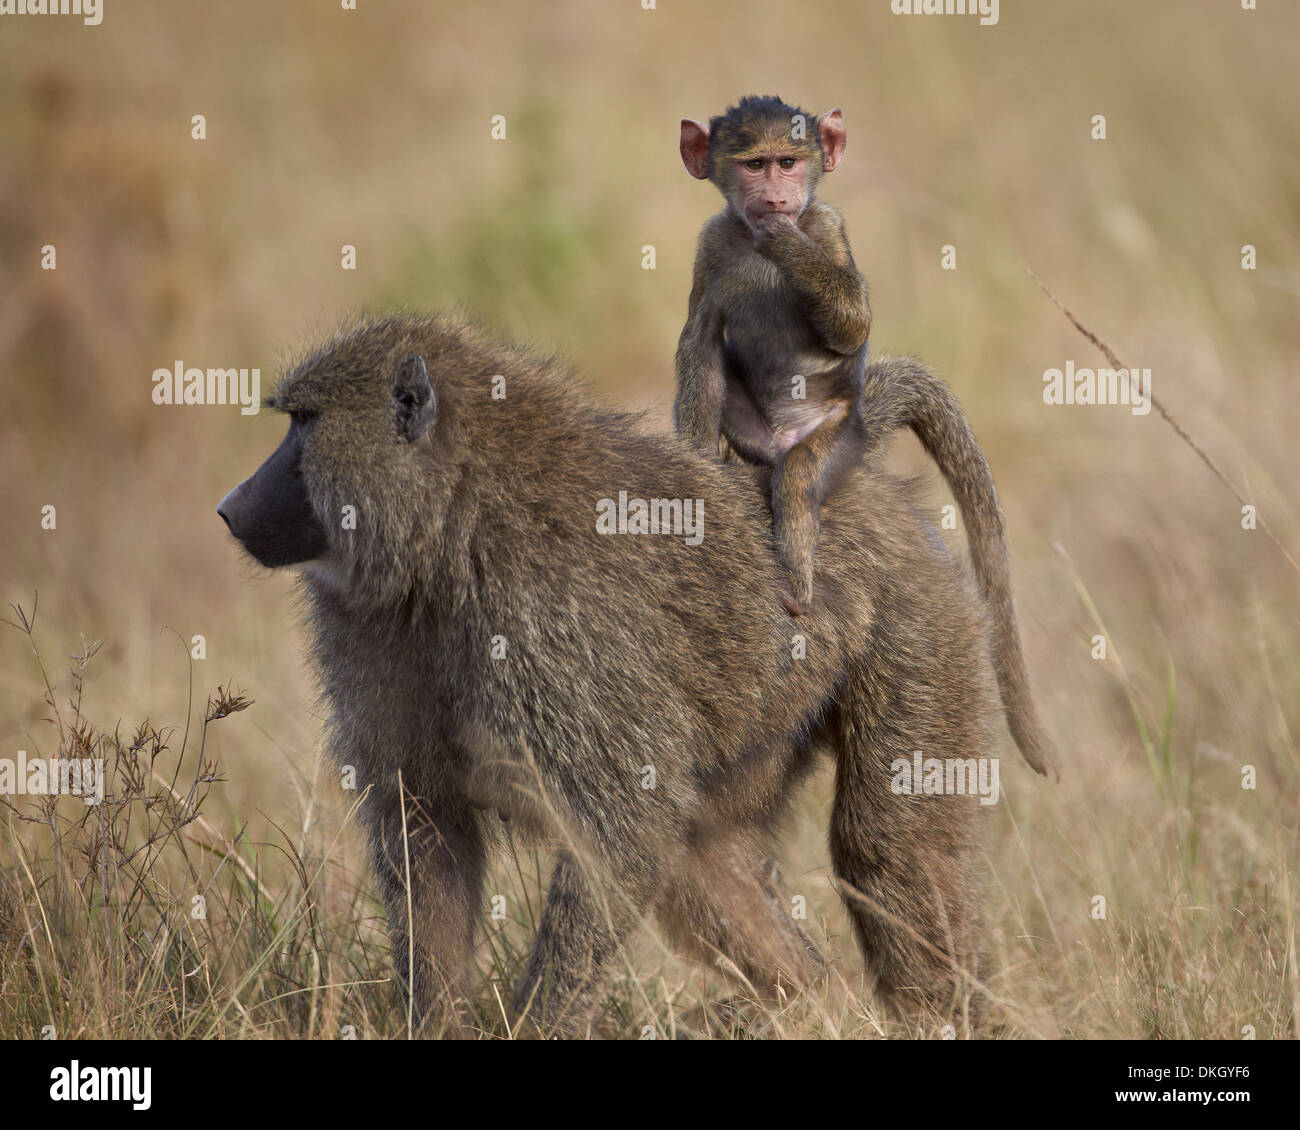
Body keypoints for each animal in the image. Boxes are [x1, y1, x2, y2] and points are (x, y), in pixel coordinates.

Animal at [218, 313, 1003, 1037]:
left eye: (303, 425)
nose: (230, 507)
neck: (451, 530)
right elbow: (424, 826)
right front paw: (432, 1023)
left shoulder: (550, 628)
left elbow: (616, 834)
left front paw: (534, 1027)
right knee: (703, 866)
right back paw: (817, 1005)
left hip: (918, 618)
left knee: (886, 847)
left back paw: (941, 1017)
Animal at [676, 95, 1056, 778]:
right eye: (753, 164)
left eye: (788, 162)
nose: (774, 198)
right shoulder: (711, 244)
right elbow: (701, 343)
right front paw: (692, 468)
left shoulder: (828, 227)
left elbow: (851, 322)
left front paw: (788, 244)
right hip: (756, 433)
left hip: (836, 438)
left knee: (801, 478)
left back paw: (796, 584)